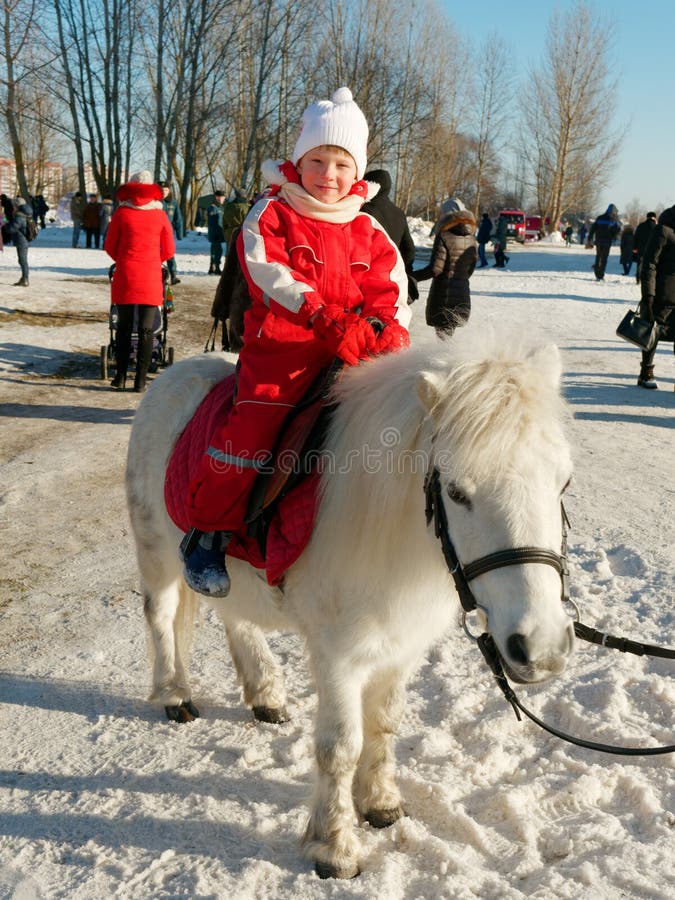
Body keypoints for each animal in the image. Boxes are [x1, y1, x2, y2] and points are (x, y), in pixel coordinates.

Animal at [125, 326, 575, 879]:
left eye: (563, 481)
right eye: (456, 492)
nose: (542, 646)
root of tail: (173, 373)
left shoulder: (402, 647)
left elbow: (384, 724)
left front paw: (380, 802)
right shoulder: (337, 655)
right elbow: (339, 746)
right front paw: (334, 846)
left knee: (238, 619)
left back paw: (265, 693)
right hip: (157, 552)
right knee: (162, 615)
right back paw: (174, 694)